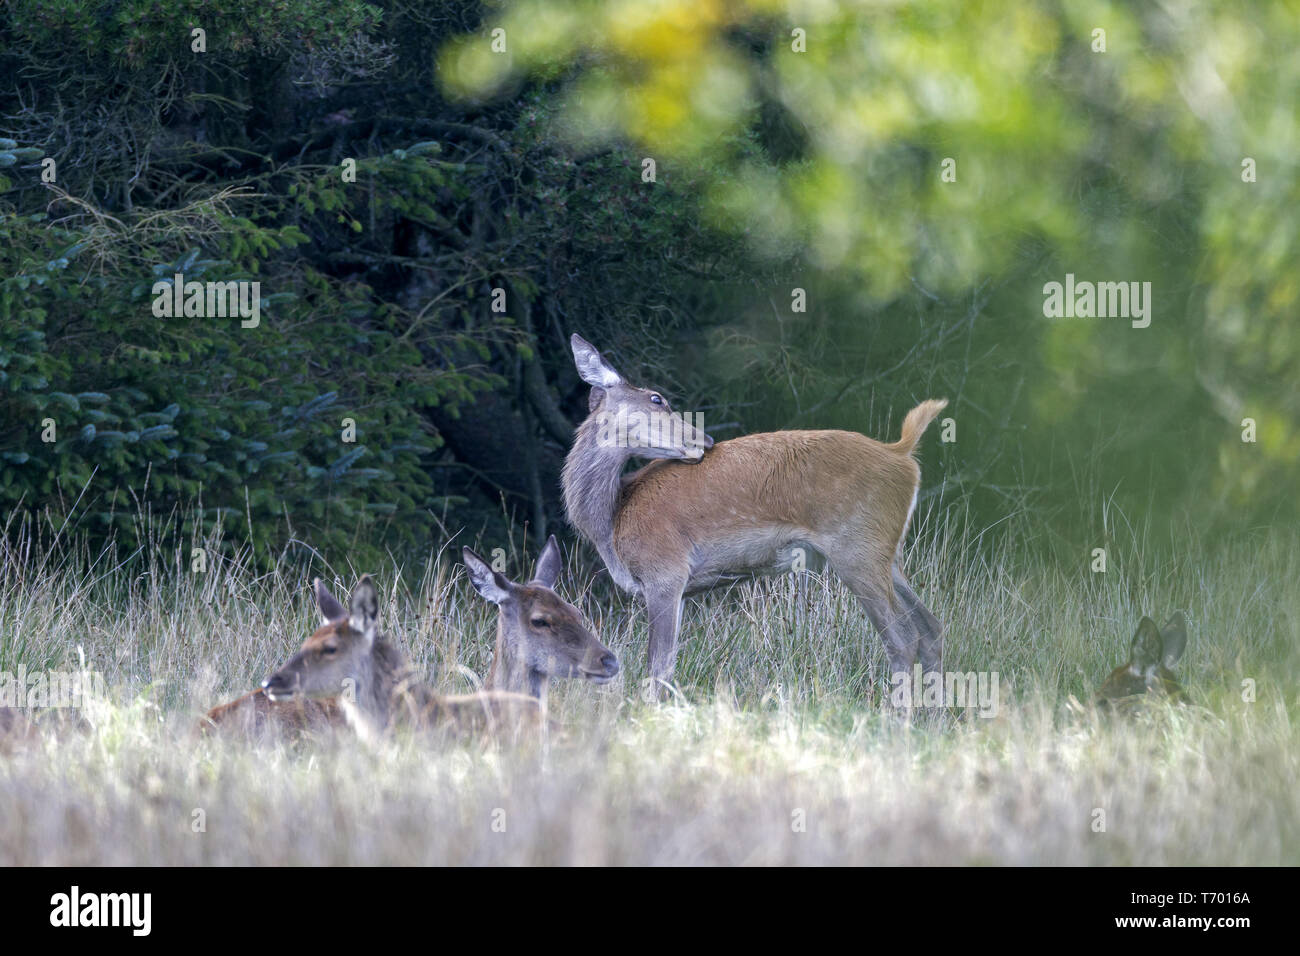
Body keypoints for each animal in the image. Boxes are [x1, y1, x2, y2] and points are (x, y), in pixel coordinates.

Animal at [563, 333, 948, 698]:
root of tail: (901, 454)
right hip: (886, 553)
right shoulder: (678, 586)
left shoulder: (665, 571)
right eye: (656, 399)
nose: (706, 439)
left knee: (903, 637)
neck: (613, 521)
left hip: (857, 548)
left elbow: (658, 669)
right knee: (931, 628)